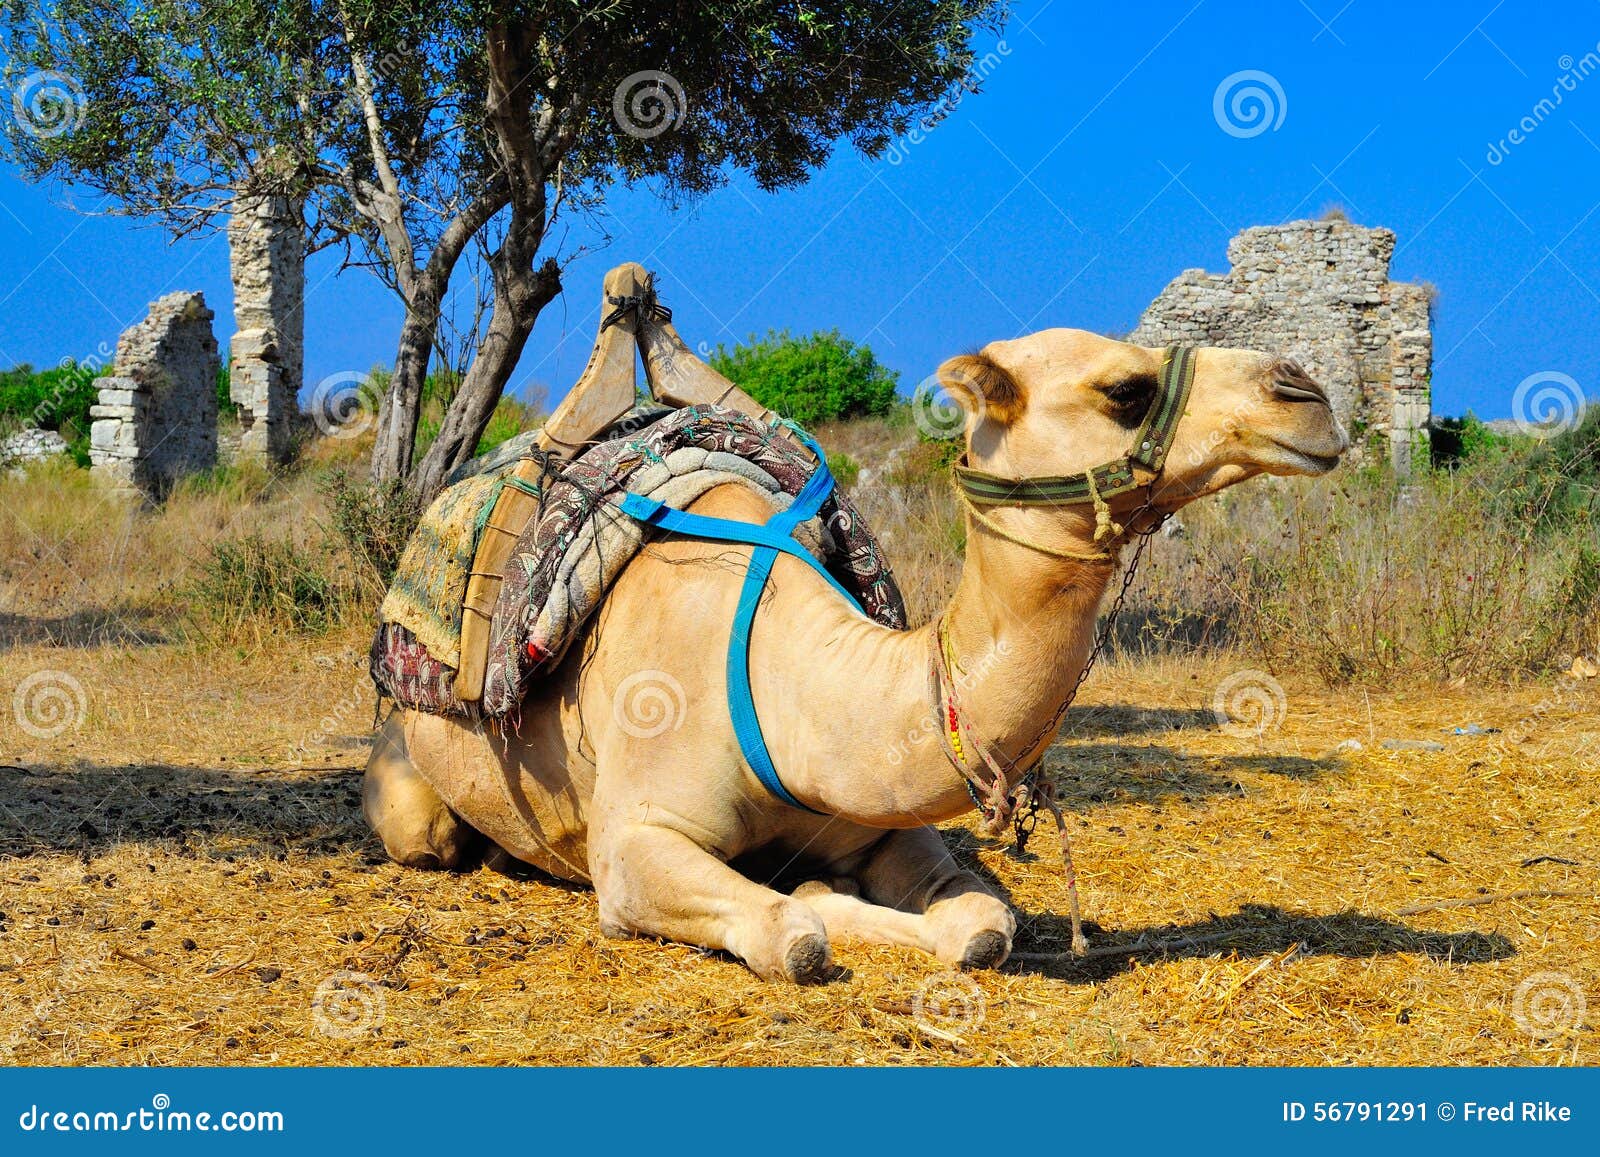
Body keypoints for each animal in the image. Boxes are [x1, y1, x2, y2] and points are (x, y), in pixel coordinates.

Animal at [362, 323, 1348, 983]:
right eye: (1125, 389)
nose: (1307, 392)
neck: (785, 686)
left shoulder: (883, 820)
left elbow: (983, 920)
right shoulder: (634, 846)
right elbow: (792, 933)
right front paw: (806, 902)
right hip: (409, 777)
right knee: (426, 832)